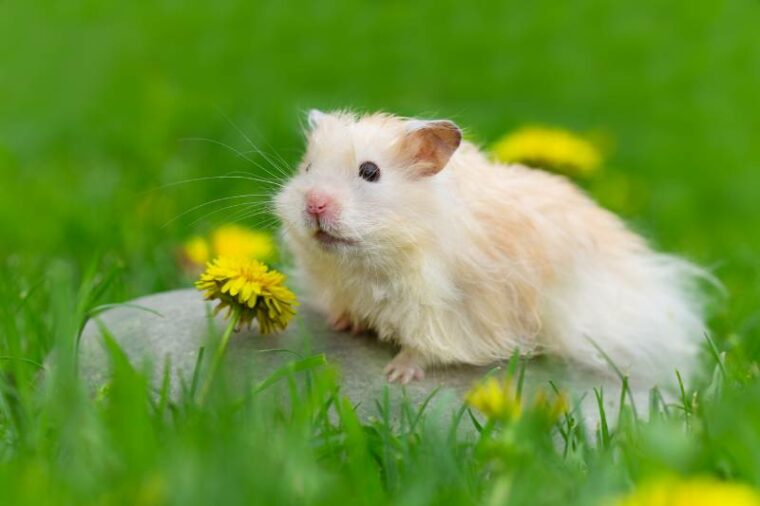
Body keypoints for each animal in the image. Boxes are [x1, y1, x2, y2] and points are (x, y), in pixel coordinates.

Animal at [274, 110, 707, 384]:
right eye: (308, 168)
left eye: (370, 172)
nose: (314, 204)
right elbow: (348, 308)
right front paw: (342, 323)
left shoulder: (448, 312)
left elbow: (424, 346)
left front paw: (397, 375)